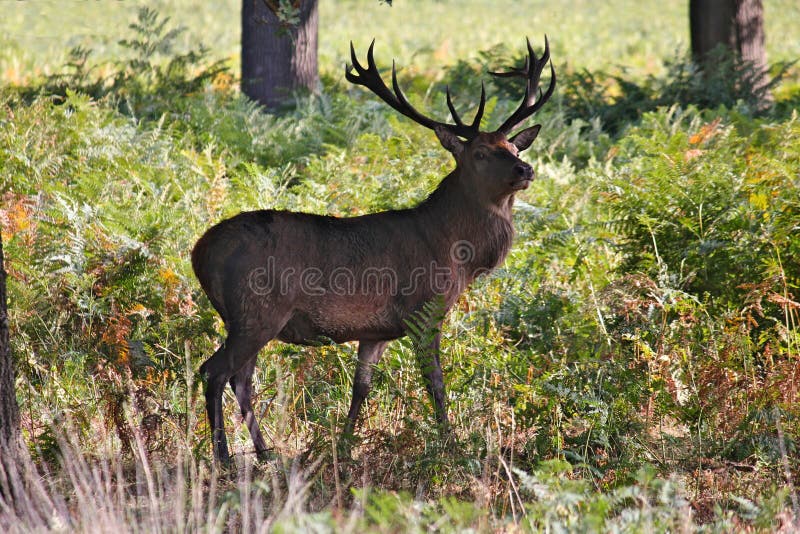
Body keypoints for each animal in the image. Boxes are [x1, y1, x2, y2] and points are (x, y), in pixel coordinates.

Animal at [192, 37, 556, 462]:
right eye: (480, 153)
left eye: (514, 147)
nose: (525, 169)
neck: (454, 252)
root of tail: (199, 253)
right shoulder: (423, 310)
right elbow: (435, 382)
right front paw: (450, 445)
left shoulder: (375, 331)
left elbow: (360, 387)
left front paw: (345, 445)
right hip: (256, 310)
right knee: (215, 371)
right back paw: (224, 459)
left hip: (246, 318)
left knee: (242, 379)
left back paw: (266, 454)